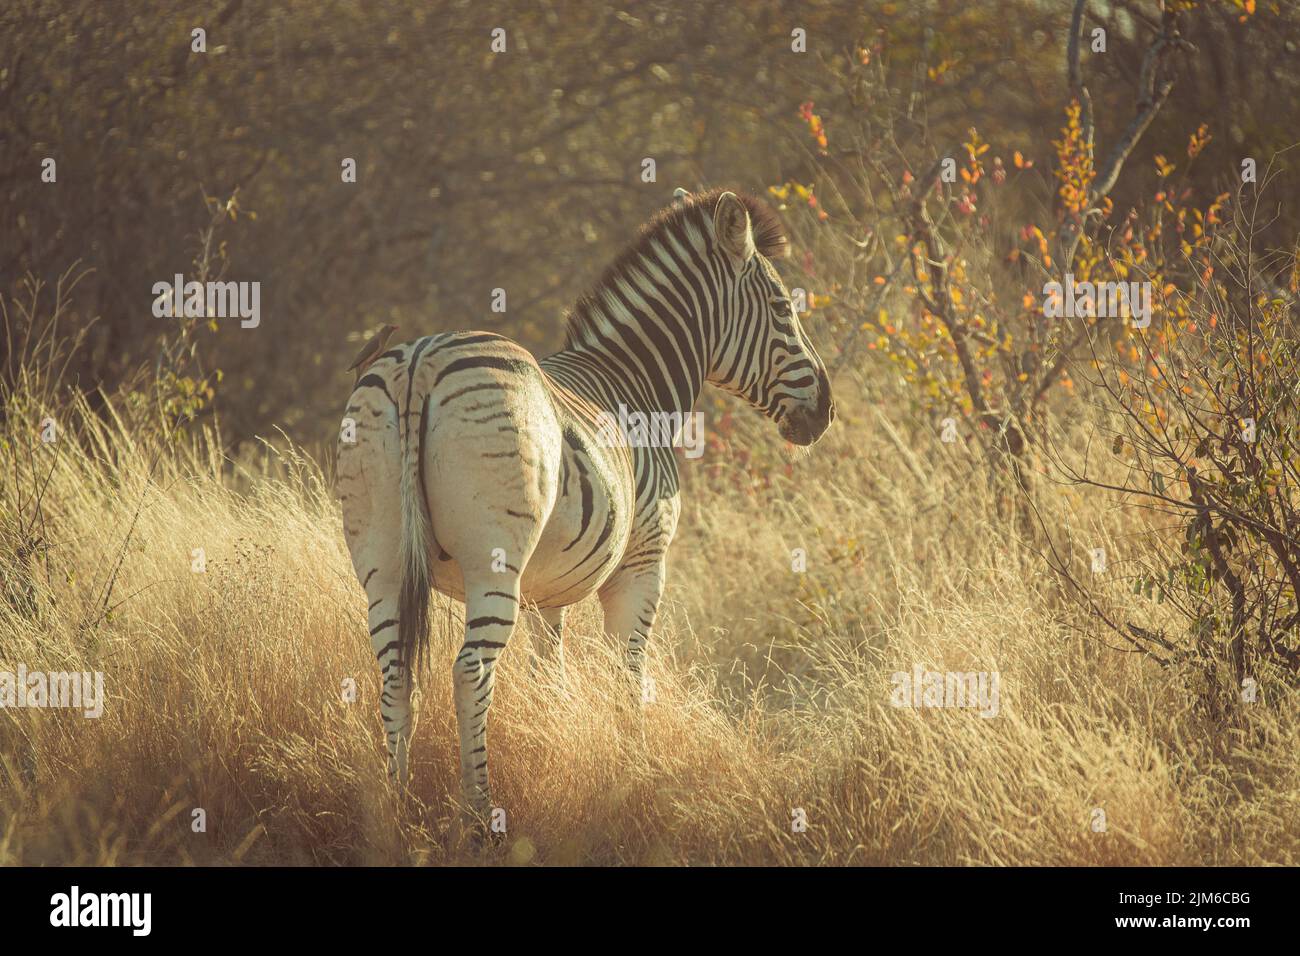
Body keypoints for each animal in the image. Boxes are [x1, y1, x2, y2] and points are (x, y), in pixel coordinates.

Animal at [336, 188, 834, 821]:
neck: (637, 387)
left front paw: (552, 750)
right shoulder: (643, 565)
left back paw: (398, 810)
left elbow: (550, 678)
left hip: (381, 560)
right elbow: (629, 679)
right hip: (492, 561)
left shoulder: (546, 594)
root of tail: (419, 359)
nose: (826, 410)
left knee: (396, 676)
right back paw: (480, 816)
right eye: (781, 308)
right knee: (471, 673)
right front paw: (636, 778)